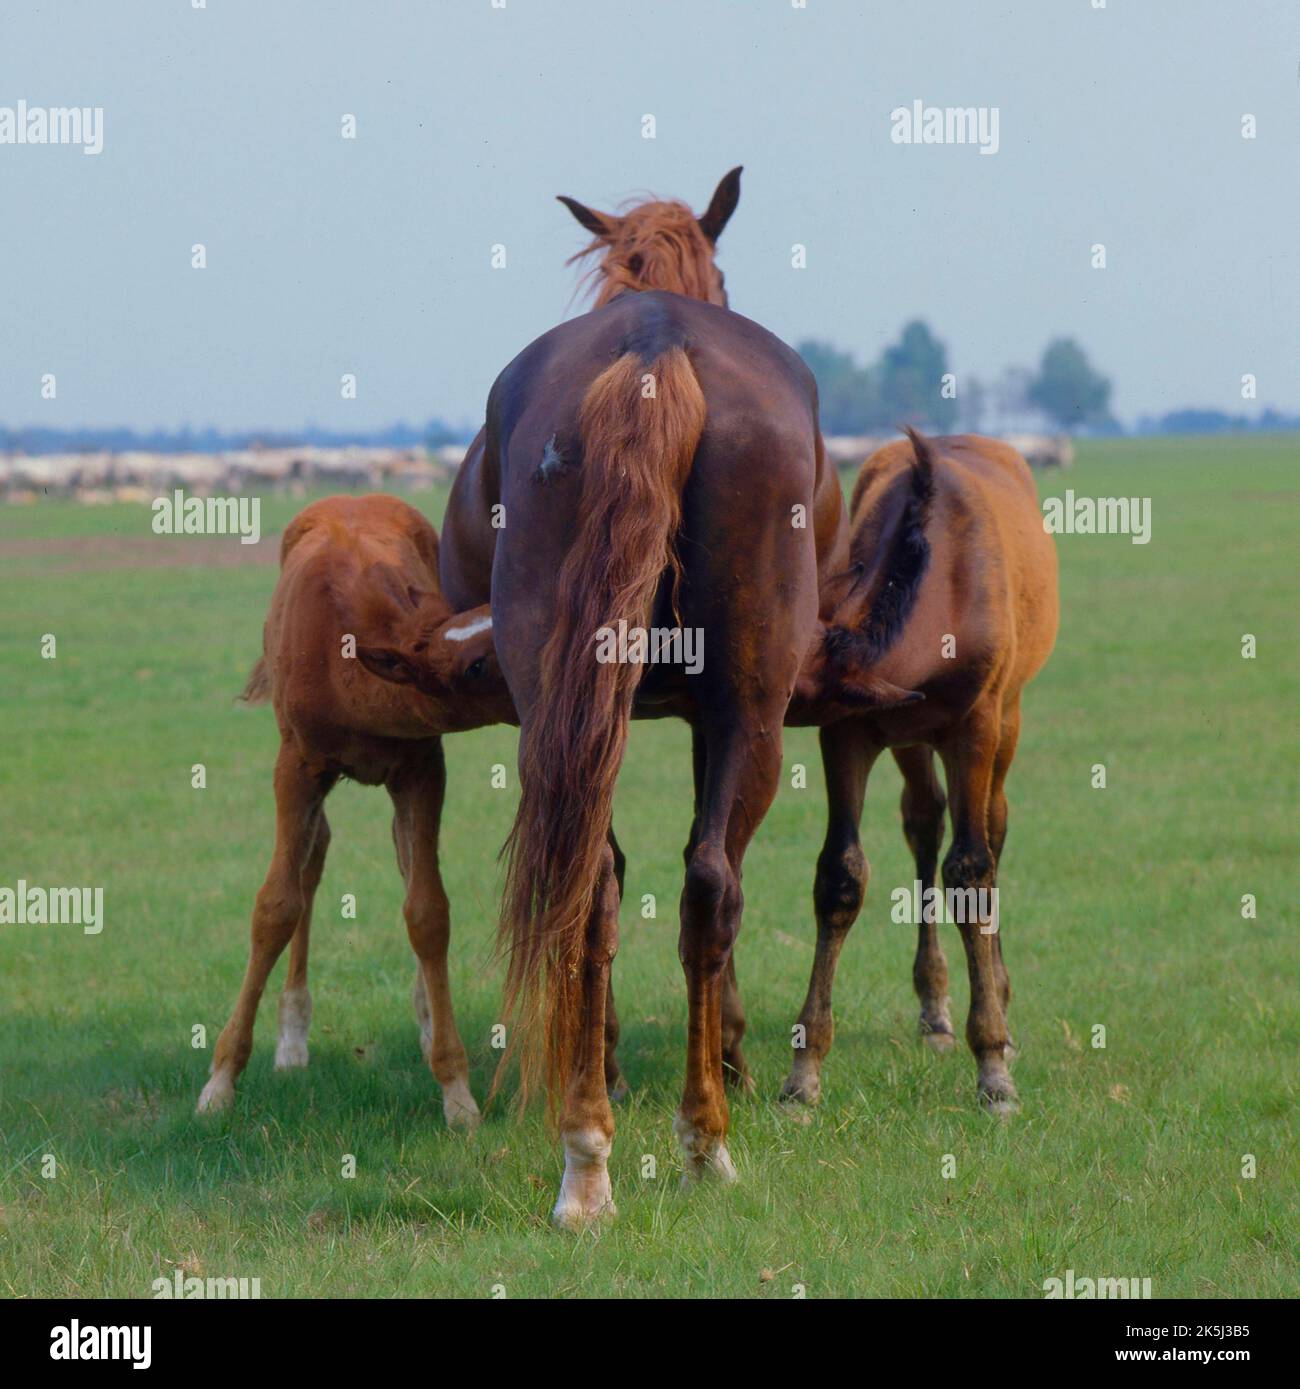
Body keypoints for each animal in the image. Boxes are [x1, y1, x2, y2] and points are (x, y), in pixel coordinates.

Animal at [196, 494, 513, 1129]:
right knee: (312, 859)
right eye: (474, 666)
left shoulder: (422, 767)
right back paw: (292, 1037)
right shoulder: (295, 766)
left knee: (398, 858)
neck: (347, 663)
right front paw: (220, 1081)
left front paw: (456, 1090)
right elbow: (275, 907)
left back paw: (423, 1019)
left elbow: (427, 911)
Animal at [439, 169, 872, 1228]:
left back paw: (589, 1152)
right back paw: (698, 1138)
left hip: (576, 708)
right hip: (749, 709)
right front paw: (732, 1051)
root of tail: (655, 348)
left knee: (602, 885)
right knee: (707, 882)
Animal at [784, 429, 1059, 1114]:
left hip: (1006, 719)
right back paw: (934, 1007)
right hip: (910, 739)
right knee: (924, 822)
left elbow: (971, 869)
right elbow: (841, 875)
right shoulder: (852, 728)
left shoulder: (976, 723)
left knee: (991, 828)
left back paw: (1000, 1002)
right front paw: (804, 1070)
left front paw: (993, 1064)